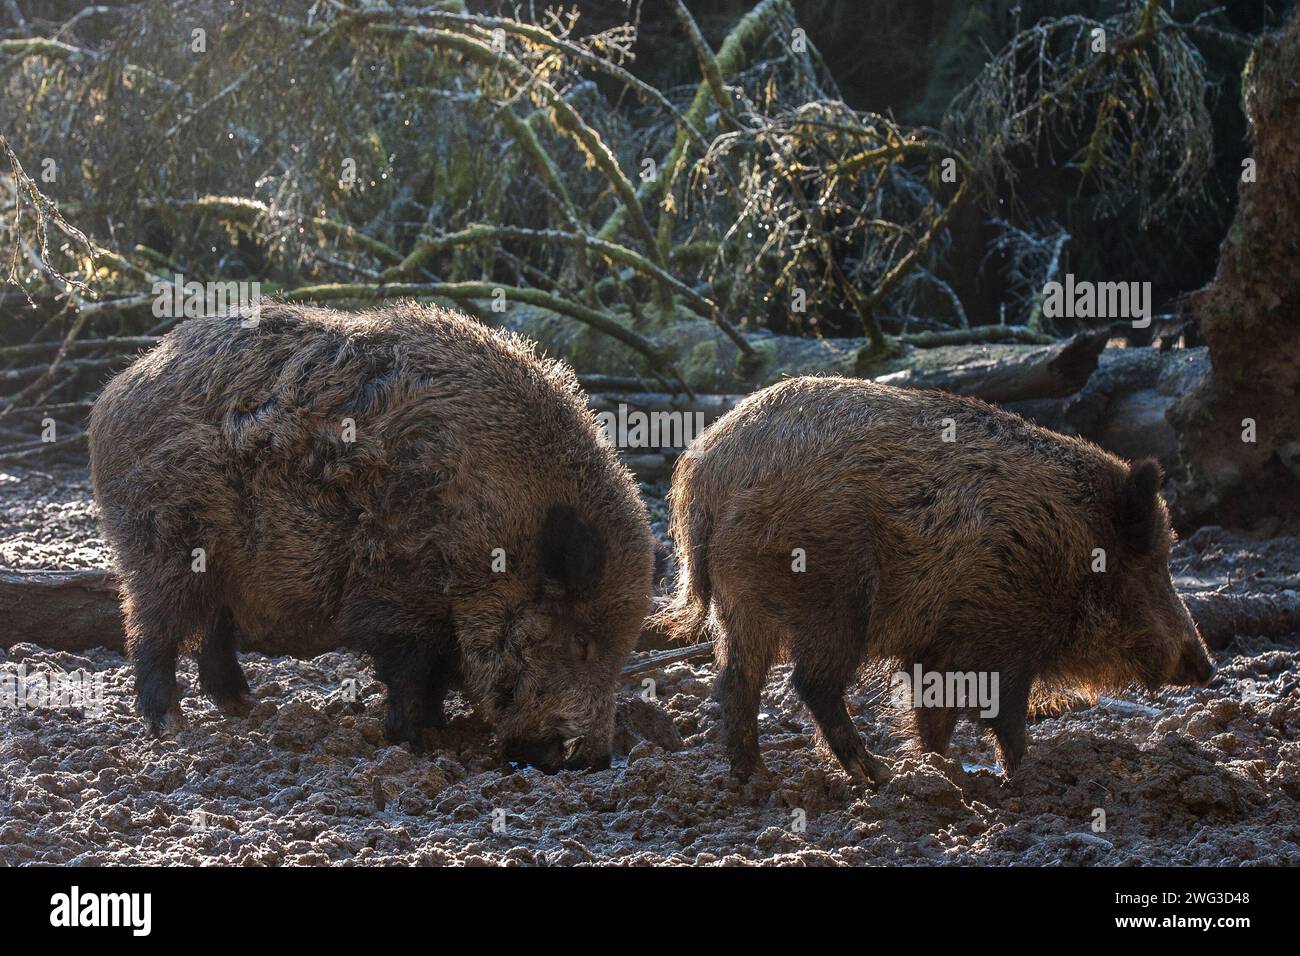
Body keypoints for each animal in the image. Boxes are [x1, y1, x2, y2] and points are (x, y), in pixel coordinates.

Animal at [88, 302, 654, 771]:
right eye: (581, 641)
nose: (592, 759)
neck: (496, 528)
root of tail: (115, 392)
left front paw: (436, 730)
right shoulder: (399, 588)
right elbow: (410, 670)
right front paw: (417, 742)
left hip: (226, 567)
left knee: (214, 629)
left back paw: (246, 706)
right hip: (164, 543)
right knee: (151, 627)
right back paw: (169, 726)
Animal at [657, 375, 1215, 784]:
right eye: (1153, 563)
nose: (1206, 668)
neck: (1071, 552)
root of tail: (710, 472)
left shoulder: (942, 650)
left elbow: (936, 717)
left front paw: (940, 768)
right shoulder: (999, 640)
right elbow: (1003, 718)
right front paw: (1023, 775)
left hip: (743, 605)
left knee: (736, 683)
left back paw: (757, 778)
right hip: (833, 600)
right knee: (809, 683)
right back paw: (874, 774)